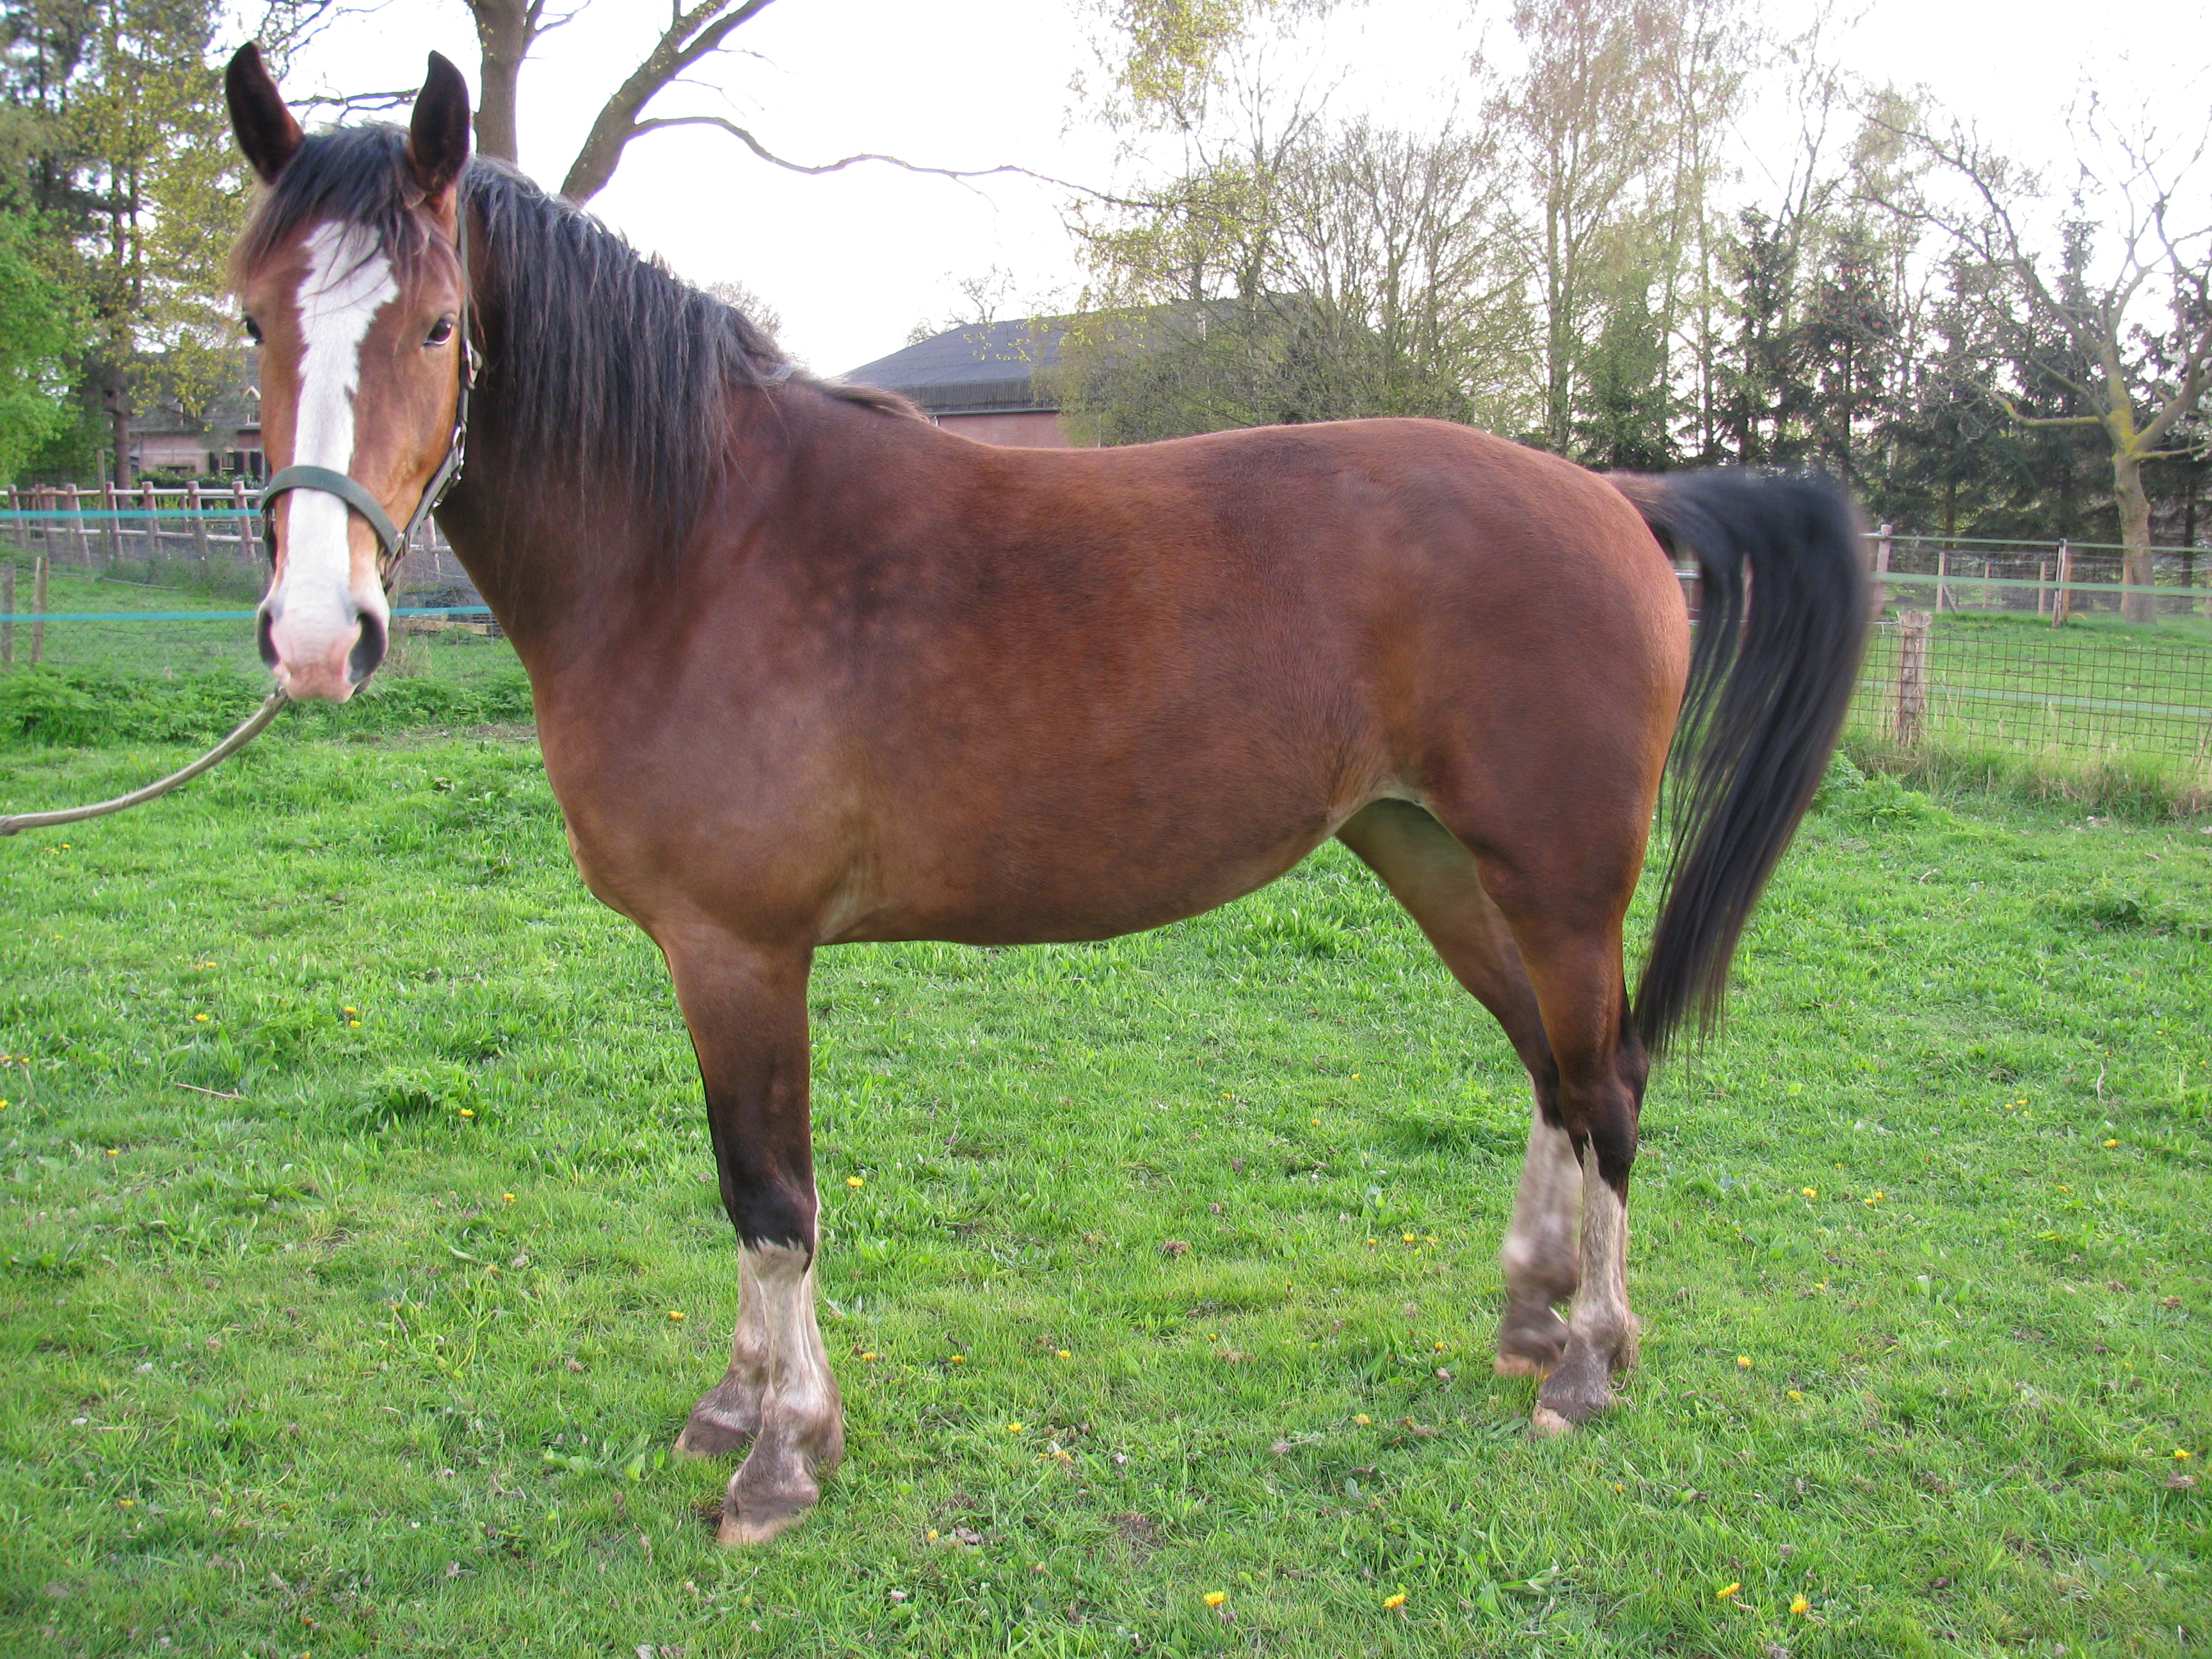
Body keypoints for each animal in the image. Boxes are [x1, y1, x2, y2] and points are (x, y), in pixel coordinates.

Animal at [222, 45, 1867, 1546]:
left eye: (440, 321)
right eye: (250, 313)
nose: (314, 635)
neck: (693, 543)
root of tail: (1617, 498)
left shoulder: (740, 952)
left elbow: (774, 1203)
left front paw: (782, 1457)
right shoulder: (714, 958)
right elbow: (753, 1197)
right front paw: (739, 1412)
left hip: (1558, 879)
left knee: (1609, 1084)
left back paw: (1589, 1363)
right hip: (1431, 854)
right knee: (1548, 1072)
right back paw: (1531, 1319)